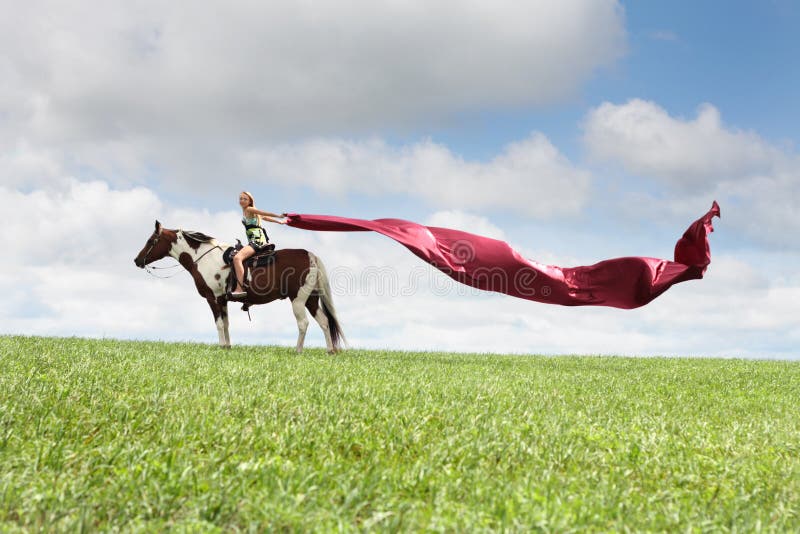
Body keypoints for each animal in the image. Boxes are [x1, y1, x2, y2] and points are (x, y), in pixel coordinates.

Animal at [133, 220, 344, 353]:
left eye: (151, 241)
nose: (137, 260)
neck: (203, 258)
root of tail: (310, 256)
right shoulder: (223, 300)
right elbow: (226, 324)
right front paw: (227, 347)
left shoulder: (213, 298)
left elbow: (219, 324)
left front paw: (220, 347)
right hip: (311, 299)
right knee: (324, 321)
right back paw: (330, 350)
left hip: (298, 300)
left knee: (303, 323)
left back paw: (298, 350)